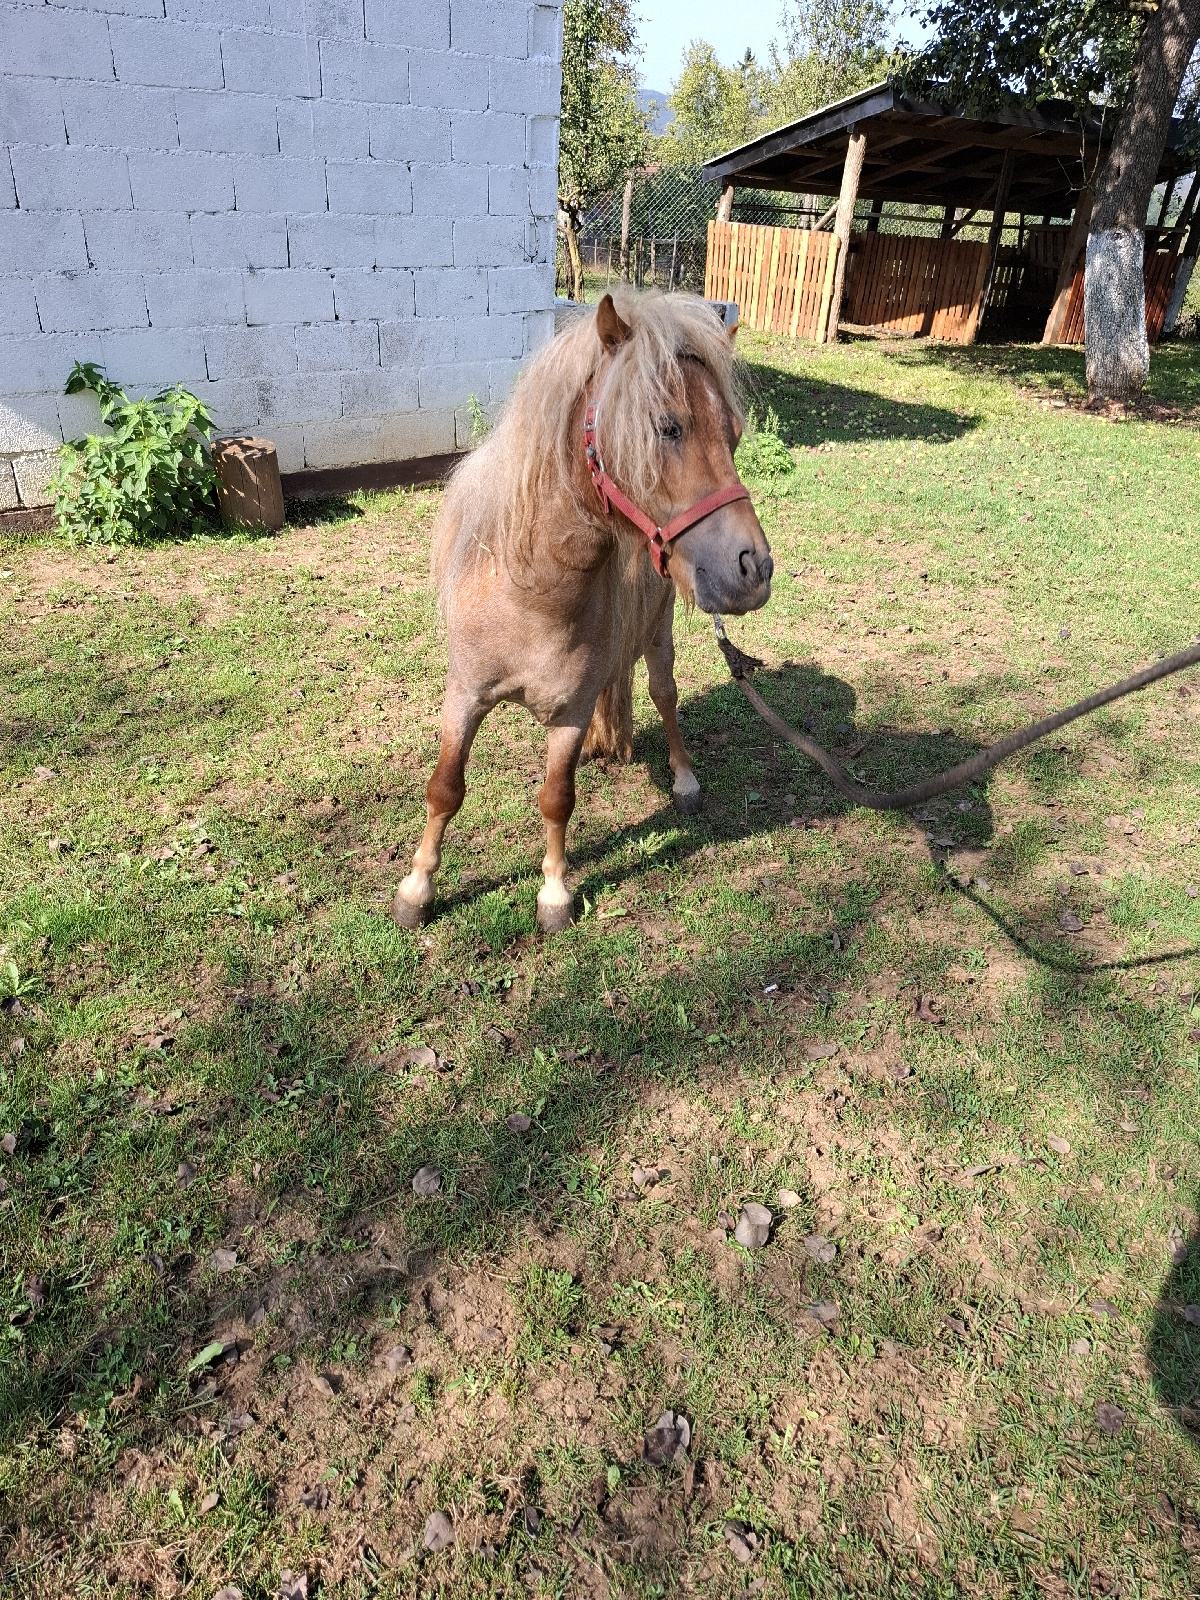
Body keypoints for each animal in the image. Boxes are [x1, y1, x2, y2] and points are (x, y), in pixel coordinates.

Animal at [393, 288, 774, 935]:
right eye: (667, 428)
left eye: (736, 435)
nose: (753, 569)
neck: (530, 593)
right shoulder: (464, 695)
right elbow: (444, 787)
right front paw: (417, 889)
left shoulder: (567, 713)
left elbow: (556, 799)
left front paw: (554, 894)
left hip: (660, 634)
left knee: (664, 697)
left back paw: (685, 780)